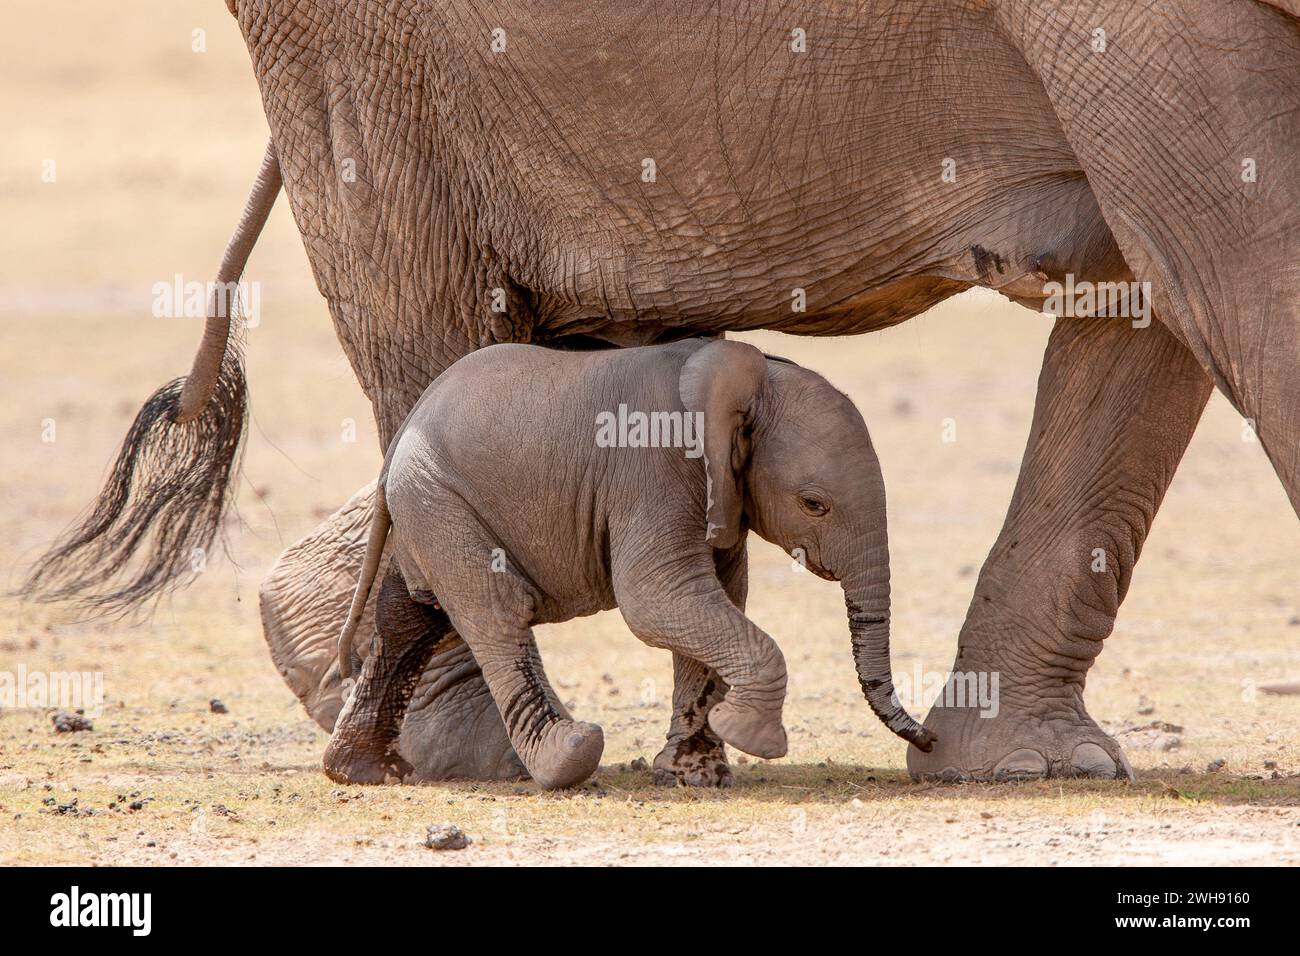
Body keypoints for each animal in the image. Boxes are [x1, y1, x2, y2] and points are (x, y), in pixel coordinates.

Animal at [321, 338, 936, 788]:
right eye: (814, 504)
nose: (927, 742)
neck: (746, 373)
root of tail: (403, 431)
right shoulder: (655, 470)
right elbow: (655, 599)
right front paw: (751, 739)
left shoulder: (720, 493)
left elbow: (716, 598)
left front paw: (693, 777)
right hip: (438, 497)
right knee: (497, 610)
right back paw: (567, 756)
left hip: (427, 506)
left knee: (413, 616)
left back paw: (366, 773)